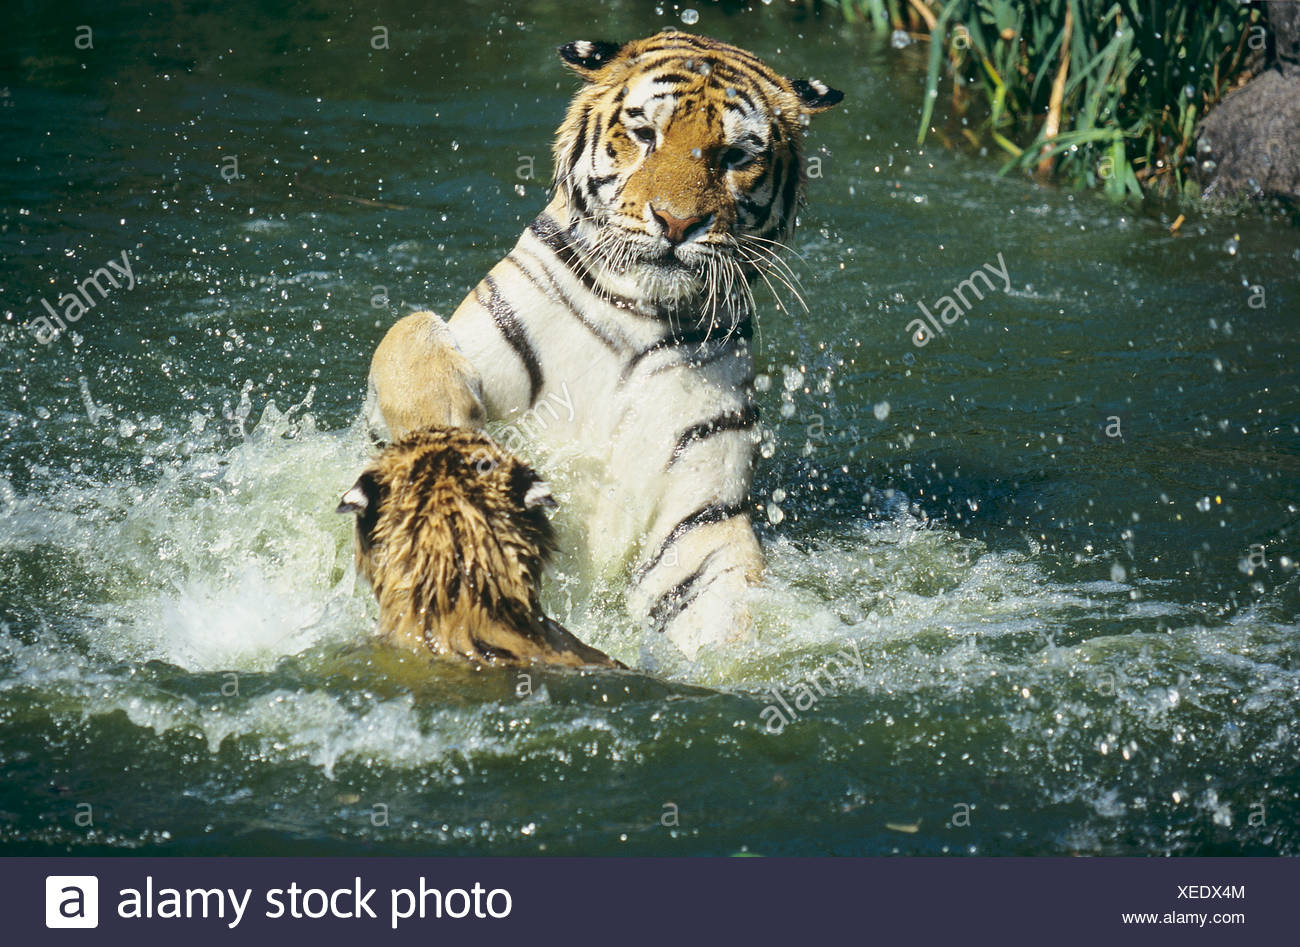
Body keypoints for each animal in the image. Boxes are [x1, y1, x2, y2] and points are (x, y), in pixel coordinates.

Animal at [367, 29, 841, 660]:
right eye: (644, 134)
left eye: (736, 156)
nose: (676, 222)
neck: (635, 312)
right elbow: (407, 334)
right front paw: (450, 441)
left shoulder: (697, 512)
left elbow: (720, 597)